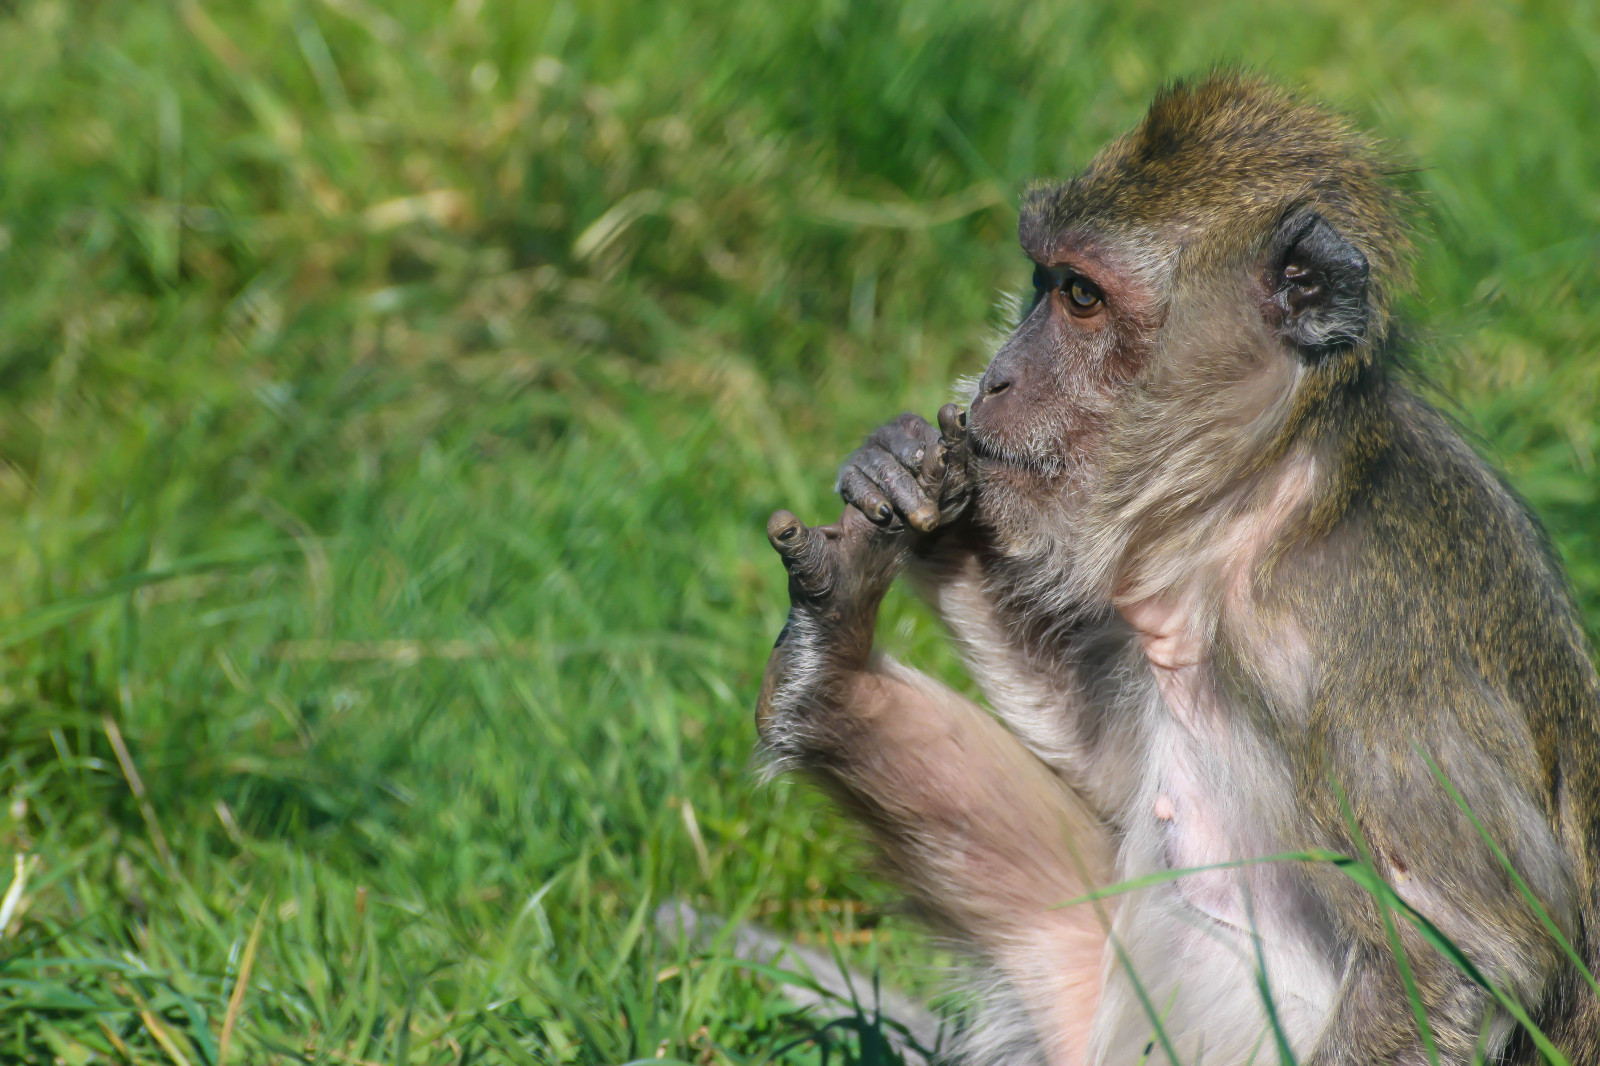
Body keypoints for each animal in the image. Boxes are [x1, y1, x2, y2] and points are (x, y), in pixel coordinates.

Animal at [753, 73, 1600, 1066]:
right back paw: (834, 661)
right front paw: (911, 478)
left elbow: (1464, 948)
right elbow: (1105, 762)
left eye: (1082, 297)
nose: (996, 378)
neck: (1264, 495)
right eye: (1043, 283)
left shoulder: (1352, 637)